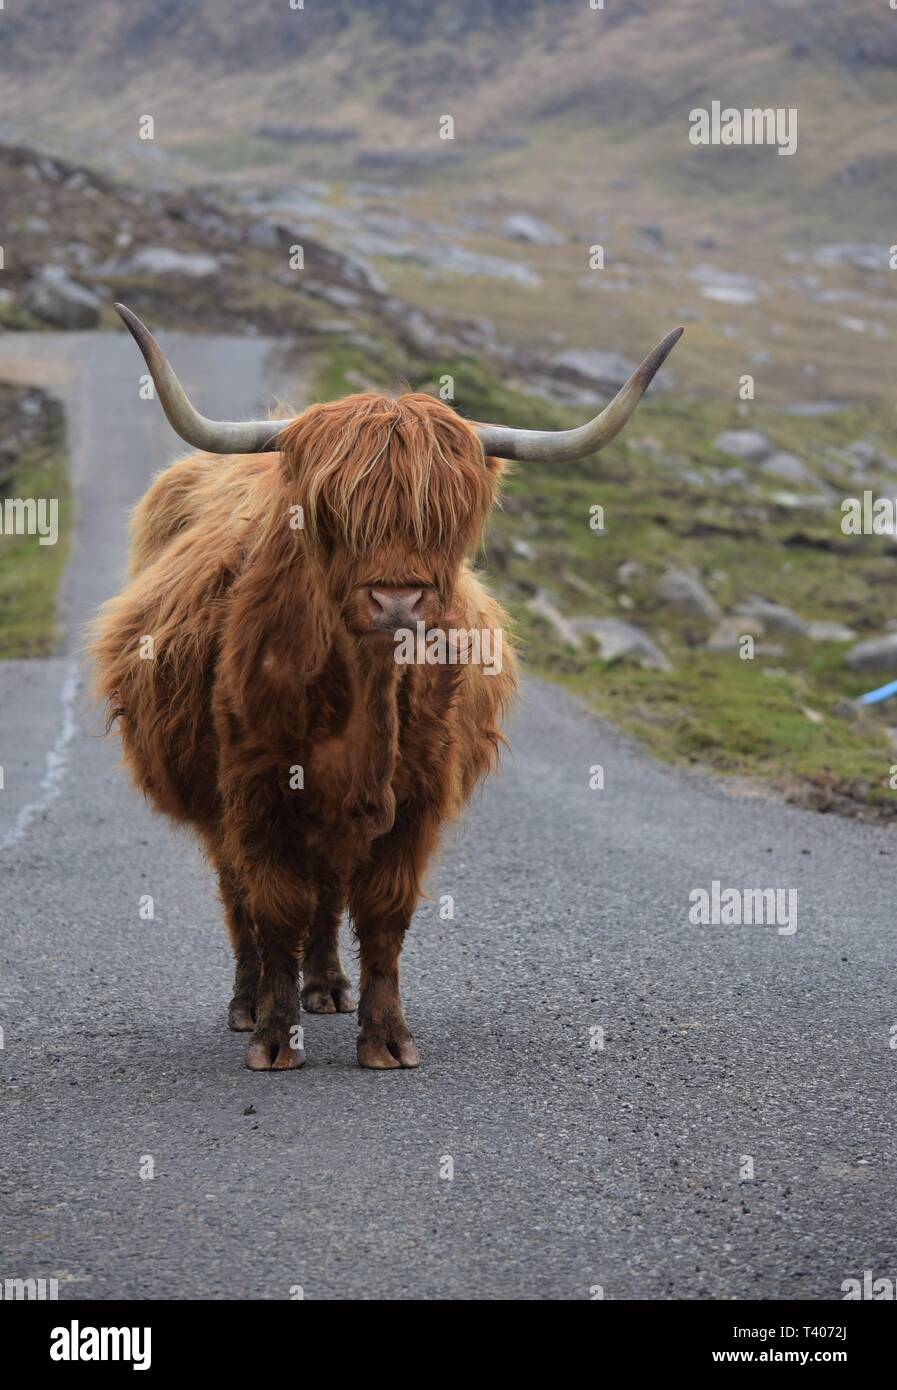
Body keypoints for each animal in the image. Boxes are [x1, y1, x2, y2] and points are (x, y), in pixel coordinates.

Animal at [92, 303, 682, 1072]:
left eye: (446, 518)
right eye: (332, 513)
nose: (396, 600)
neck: (361, 704)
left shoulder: (418, 798)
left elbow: (382, 913)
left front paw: (386, 1038)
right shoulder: (254, 789)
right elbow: (274, 905)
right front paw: (274, 1037)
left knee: (326, 894)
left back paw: (326, 988)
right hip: (218, 803)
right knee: (240, 895)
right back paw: (247, 1002)